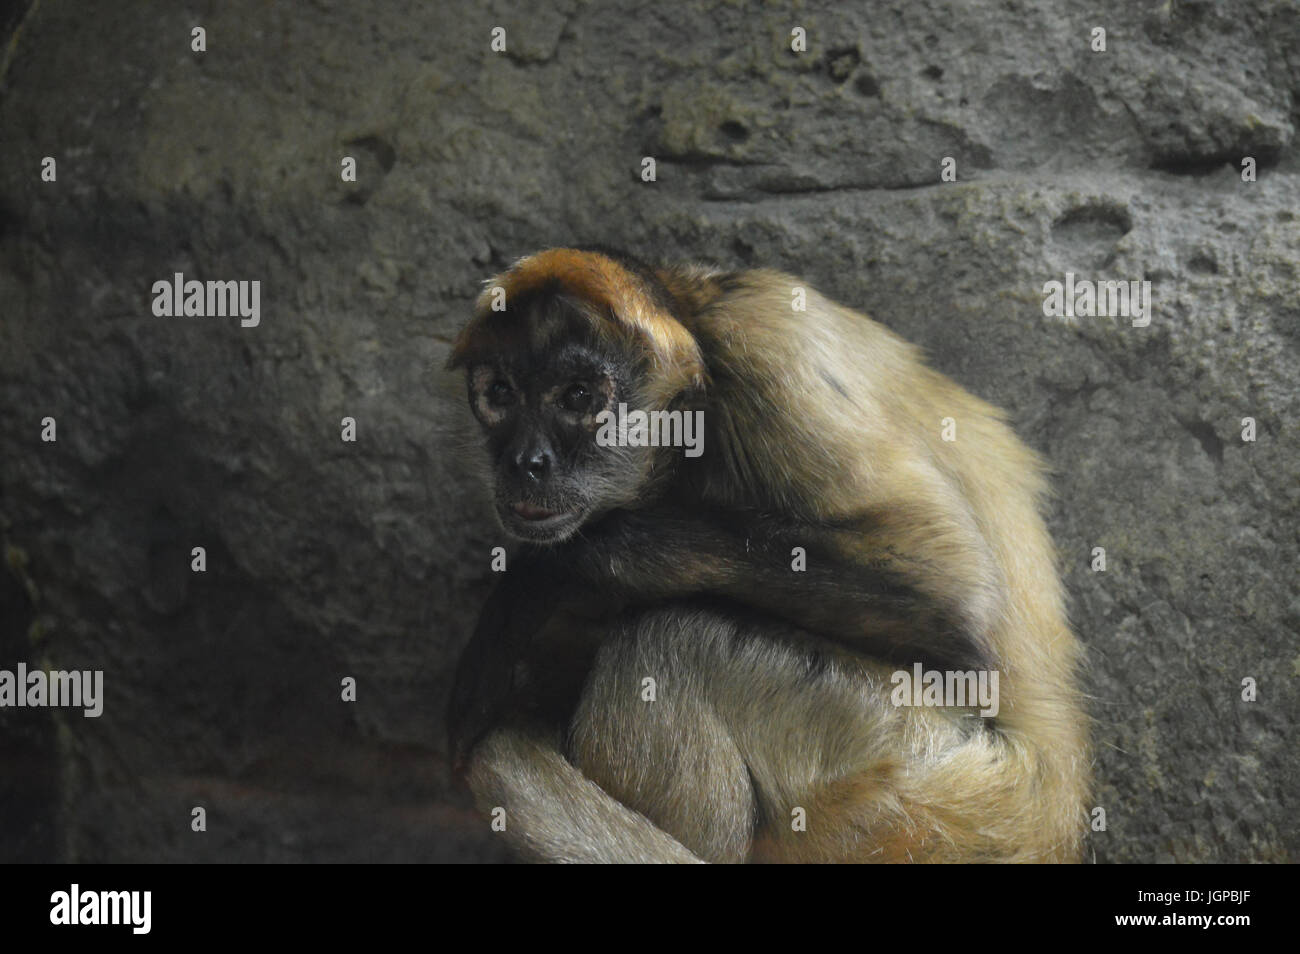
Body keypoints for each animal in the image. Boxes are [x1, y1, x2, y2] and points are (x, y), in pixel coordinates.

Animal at [445, 247, 1090, 863]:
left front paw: (542, 581)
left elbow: (955, 596)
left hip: (920, 771)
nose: (526, 461)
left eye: (577, 397)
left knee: (667, 641)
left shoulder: (767, 343)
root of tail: (1055, 809)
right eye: (500, 395)